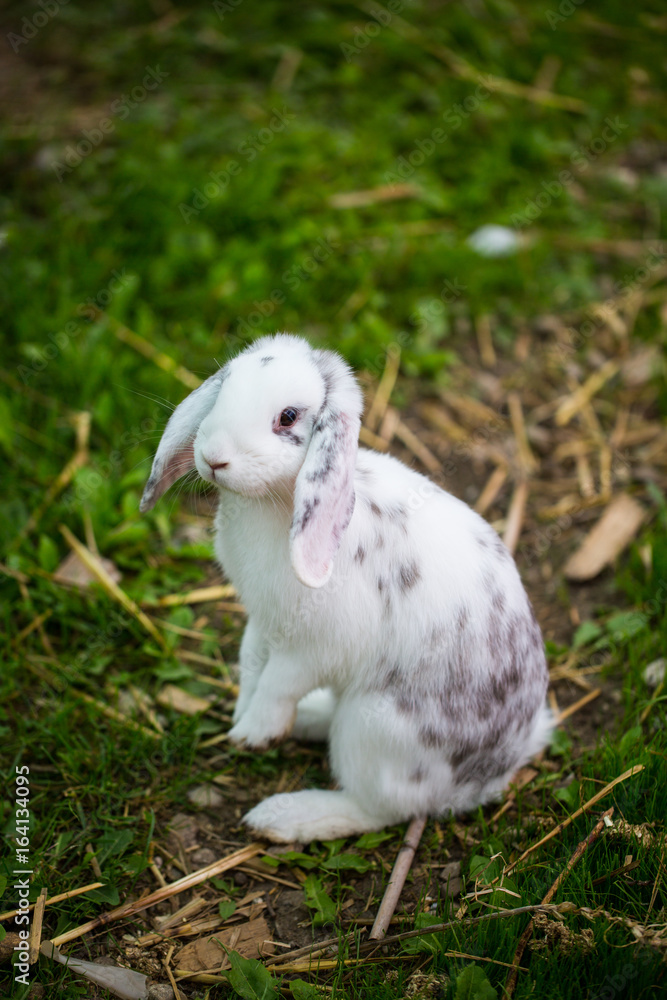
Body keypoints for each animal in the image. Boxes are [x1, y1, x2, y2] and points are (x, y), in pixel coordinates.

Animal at [141, 333, 552, 843]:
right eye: (226, 386)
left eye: (288, 416)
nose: (214, 457)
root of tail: (498, 769)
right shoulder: (262, 622)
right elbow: (251, 664)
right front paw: (241, 715)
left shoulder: (314, 647)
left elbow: (277, 684)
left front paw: (252, 733)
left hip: (373, 730)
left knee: (379, 808)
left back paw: (283, 817)